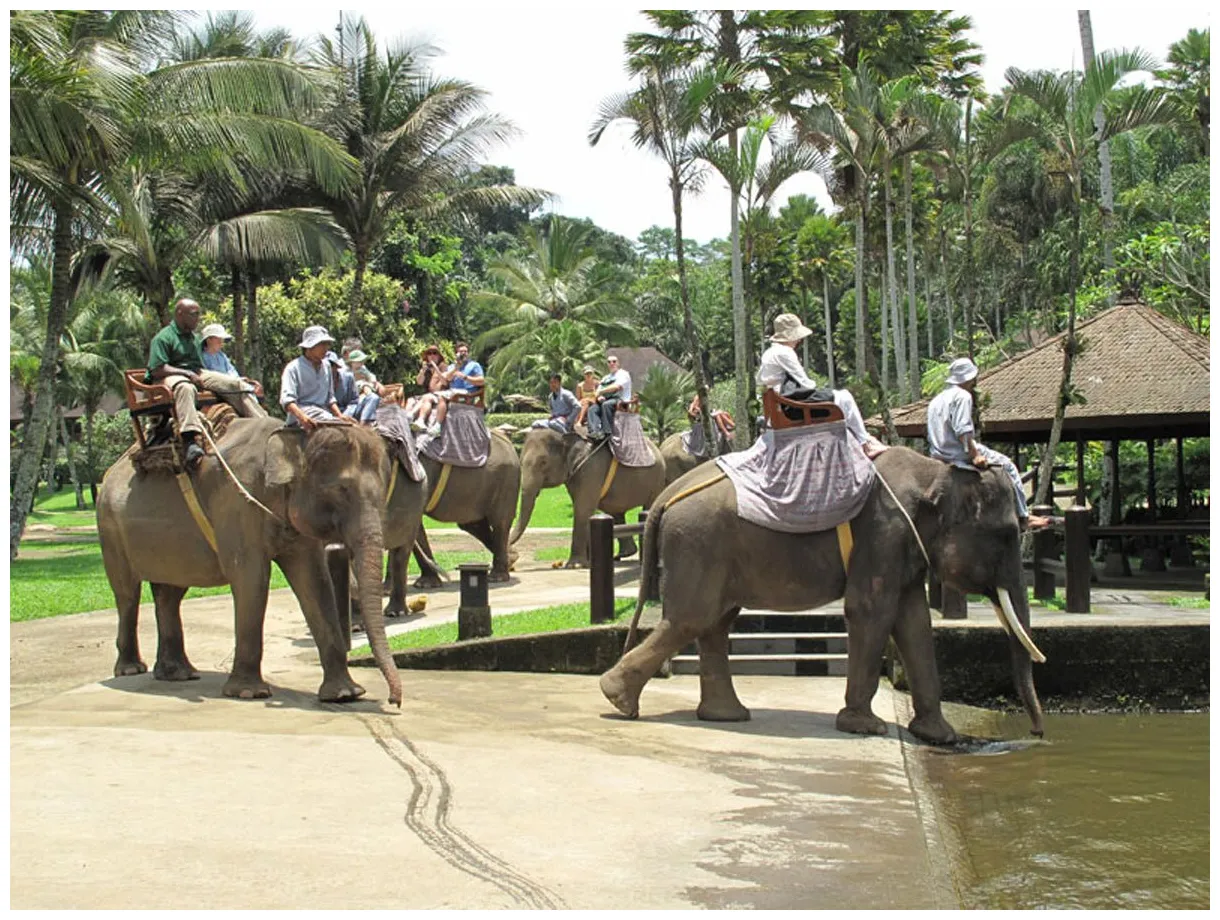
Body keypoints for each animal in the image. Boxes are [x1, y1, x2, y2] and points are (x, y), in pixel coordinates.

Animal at [97, 417, 409, 705]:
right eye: (341, 490)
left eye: (383, 491)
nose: (394, 700)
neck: (292, 439)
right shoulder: (237, 505)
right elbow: (251, 579)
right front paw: (249, 693)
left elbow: (314, 581)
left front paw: (345, 695)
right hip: (109, 528)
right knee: (127, 594)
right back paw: (131, 669)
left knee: (169, 592)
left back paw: (178, 674)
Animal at [511, 428, 666, 567]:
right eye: (520, 462)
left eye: (543, 462)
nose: (513, 554)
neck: (565, 435)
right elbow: (584, 508)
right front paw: (588, 563)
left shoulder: (591, 469)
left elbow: (582, 508)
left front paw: (575, 566)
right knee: (616, 512)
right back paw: (622, 555)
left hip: (657, 479)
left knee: (648, 506)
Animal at [599, 446, 1046, 744]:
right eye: (1008, 534)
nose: (1037, 734)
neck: (933, 471)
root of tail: (664, 497)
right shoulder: (883, 533)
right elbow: (870, 610)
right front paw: (865, 728)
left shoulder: (904, 547)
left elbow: (914, 622)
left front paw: (941, 736)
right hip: (698, 542)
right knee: (692, 618)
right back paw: (619, 701)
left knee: (714, 622)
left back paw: (725, 717)